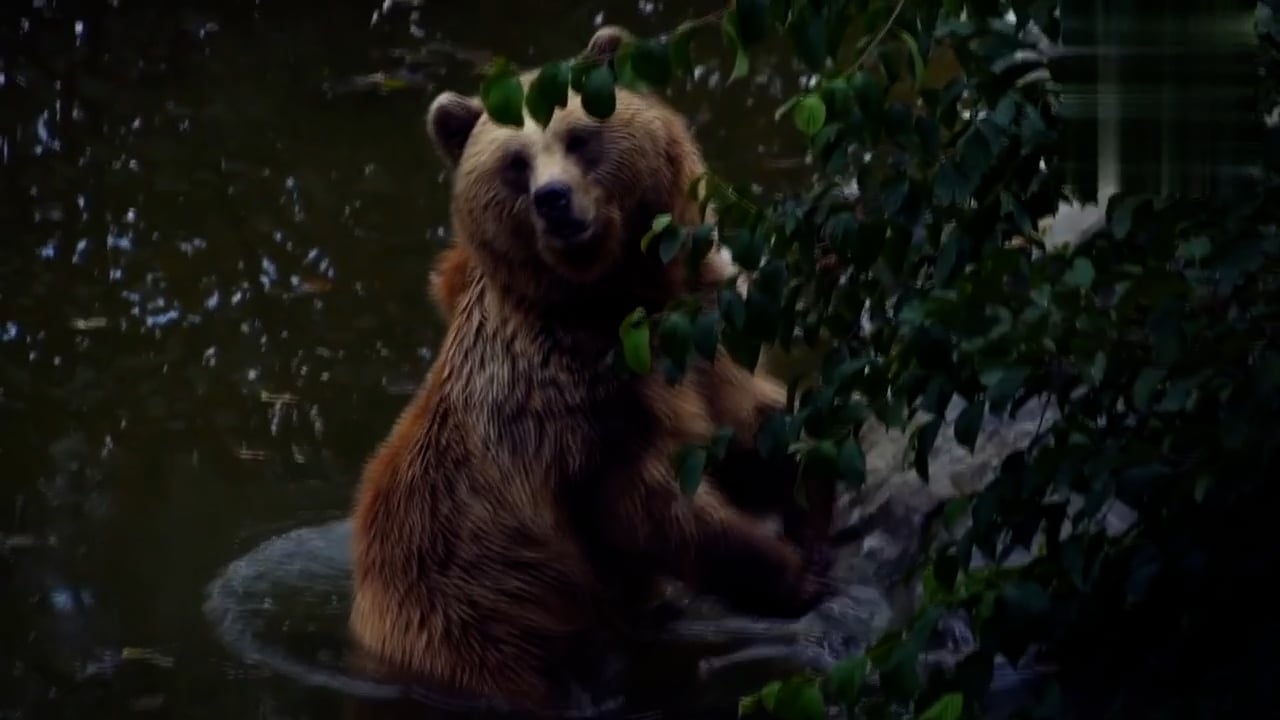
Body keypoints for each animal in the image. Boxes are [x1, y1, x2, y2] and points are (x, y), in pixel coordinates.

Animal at [350, 26, 832, 712]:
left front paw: (811, 491)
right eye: (515, 162)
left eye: (579, 136)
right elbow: (657, 507)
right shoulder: (572, 414)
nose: (553, 200)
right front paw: (793, 573)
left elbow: (748, 425)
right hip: (481, 629)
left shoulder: (694, 343)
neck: (614, 297)